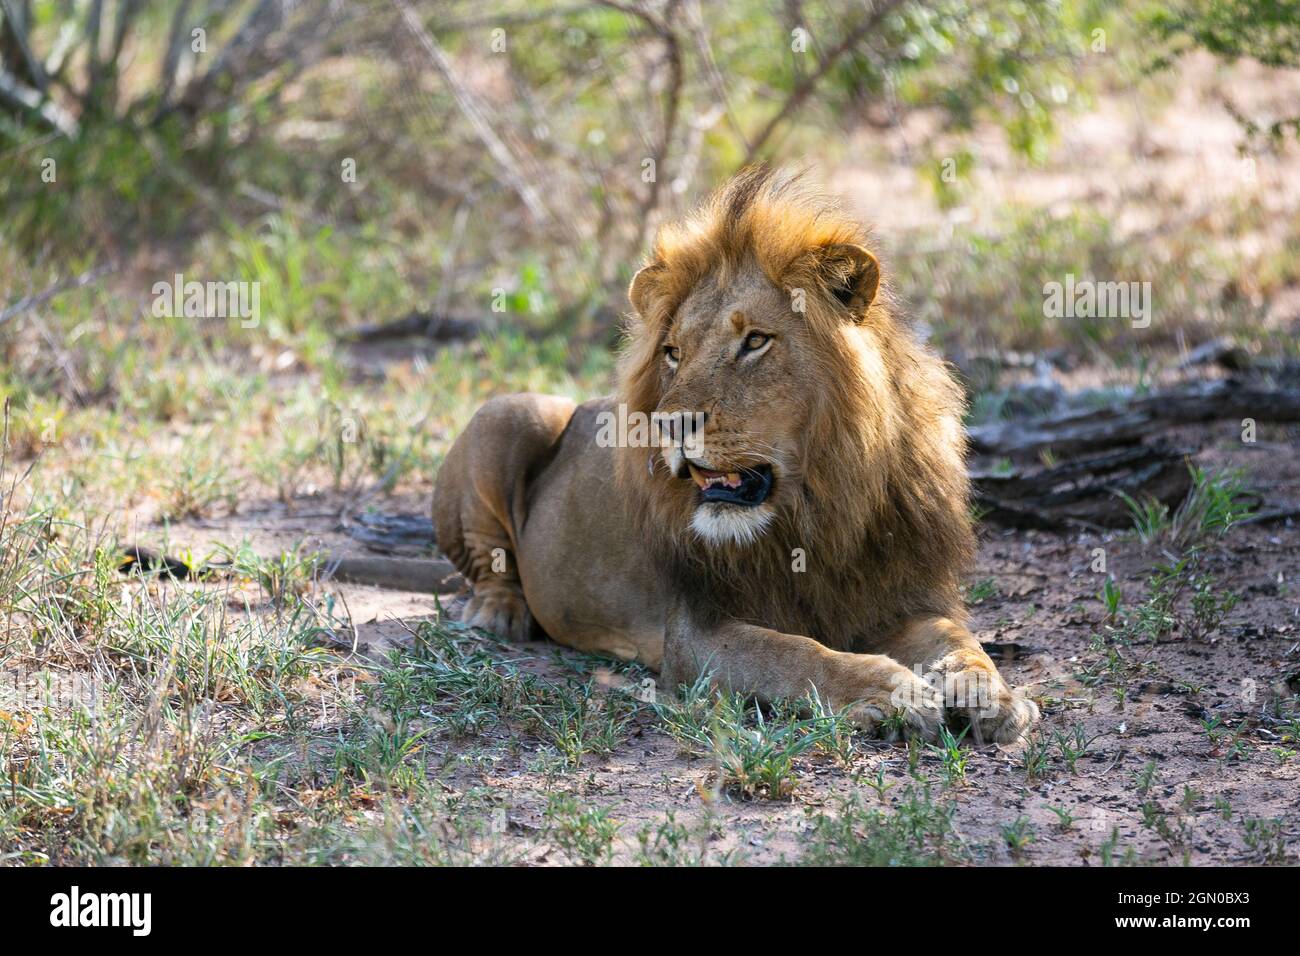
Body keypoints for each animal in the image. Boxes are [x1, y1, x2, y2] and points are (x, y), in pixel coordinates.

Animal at [433, 166, 1039, 743]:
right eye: (673, 352)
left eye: (754, 342)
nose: (668, 425)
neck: (820, 508)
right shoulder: (695, 634)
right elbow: (796, 654)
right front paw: (894, 693)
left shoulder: (908, 599)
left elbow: (962, 642)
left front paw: (993, 696)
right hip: (510, 413)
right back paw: (498, 613)